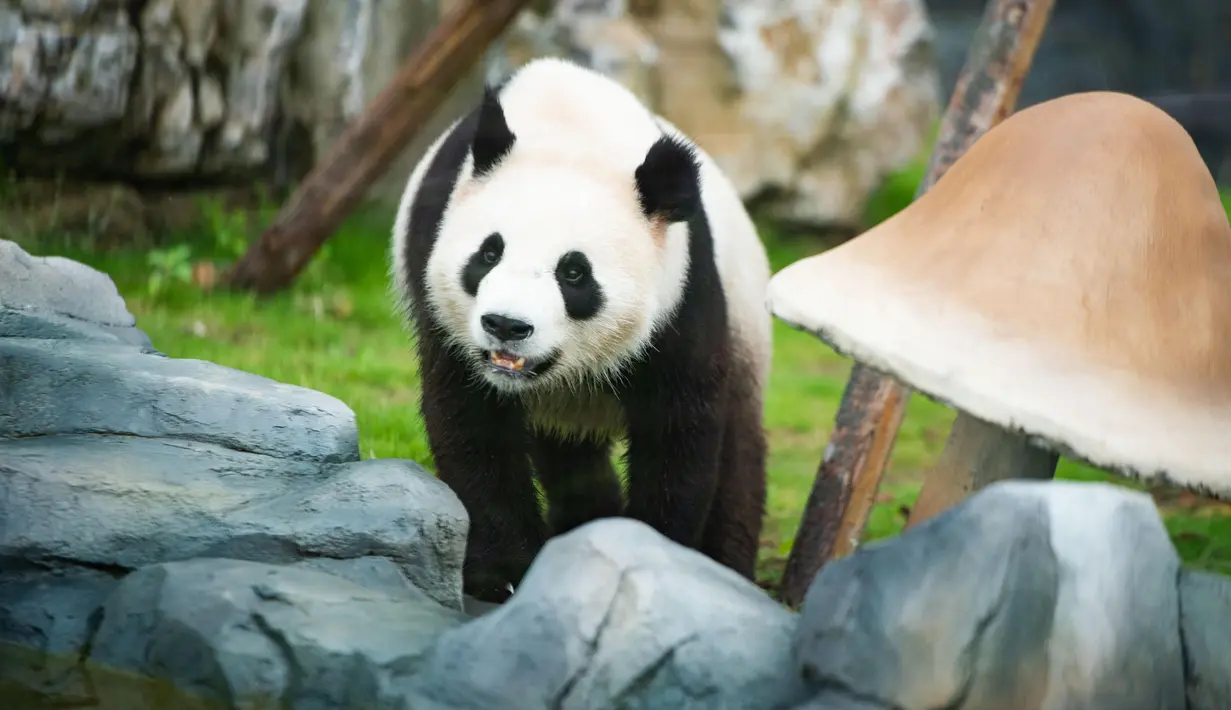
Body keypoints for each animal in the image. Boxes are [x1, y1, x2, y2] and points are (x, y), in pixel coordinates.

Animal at [390, 57, 772, 602]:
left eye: (574, 273)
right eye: (489, 253)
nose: (506, 325)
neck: (570, 133)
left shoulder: (682, 293)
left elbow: (680, 430)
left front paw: (657, 550)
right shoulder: (439, 288)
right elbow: (471, 423)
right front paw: (505, 573)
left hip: (745, 318)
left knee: (740, 449)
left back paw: (726, 564)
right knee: (569, 459)